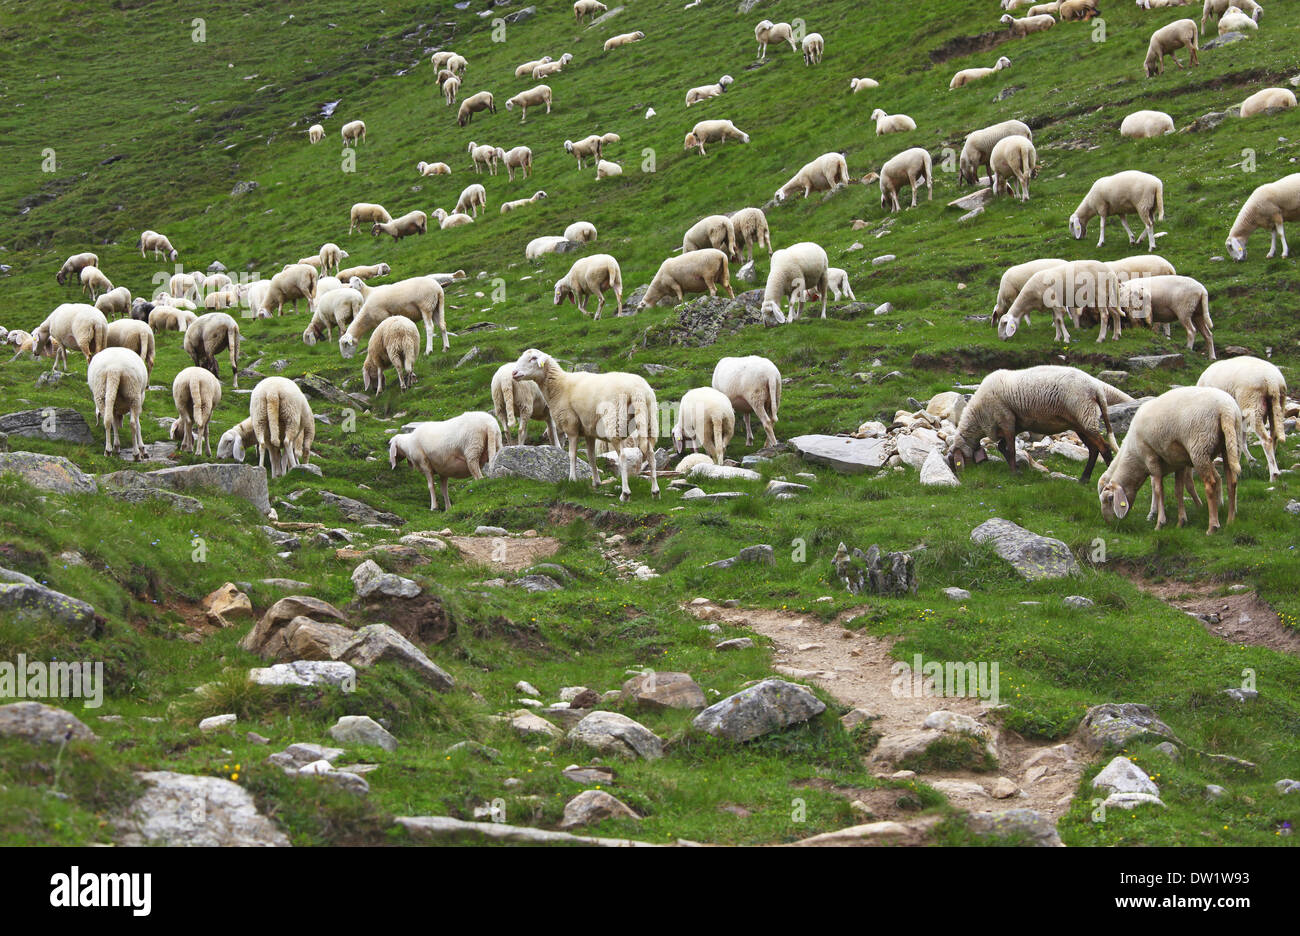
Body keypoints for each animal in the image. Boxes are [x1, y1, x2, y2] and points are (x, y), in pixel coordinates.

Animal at [511, 349, 660, 501]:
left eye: (534, 358)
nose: (514, 373)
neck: (559, 386)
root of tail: (638, 391)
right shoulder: (589, 430)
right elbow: (591, 456)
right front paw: (596, 482)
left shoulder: (571, 425)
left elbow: (572, 454)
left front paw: (572, 479)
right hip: (650, 420)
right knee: (651, 454)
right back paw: (655, 491)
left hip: (615, 422)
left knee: (623, 456)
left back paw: (625, 493)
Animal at [946, 365, 1122, 481]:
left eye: (955, 462)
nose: (962, 476)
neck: (978, 416)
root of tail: (1097, 388)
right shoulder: (1016, 424)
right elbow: (1002, 447)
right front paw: (1017, 469)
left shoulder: (1006, 419)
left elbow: (1010, 449)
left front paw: (1014, 474)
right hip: (1080, 422)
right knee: (1094, 449)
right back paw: (1084, 479)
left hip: (1085, 417)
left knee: (1104, 448)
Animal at [1098, 386, 1243, 533]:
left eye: (1110, 498)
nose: (1109, 523)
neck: (1134, 457)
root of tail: (1226, 409)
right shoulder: (1179, 463)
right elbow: (1178, 491)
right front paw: (1181, 522)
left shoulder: (1150, 457)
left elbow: (1158, 489)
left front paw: (1160, 522)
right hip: (1231, 444)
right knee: (1231, 481)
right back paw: (1230, 521)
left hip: (1200, 447)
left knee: (1211, 484)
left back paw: (1212, 526)